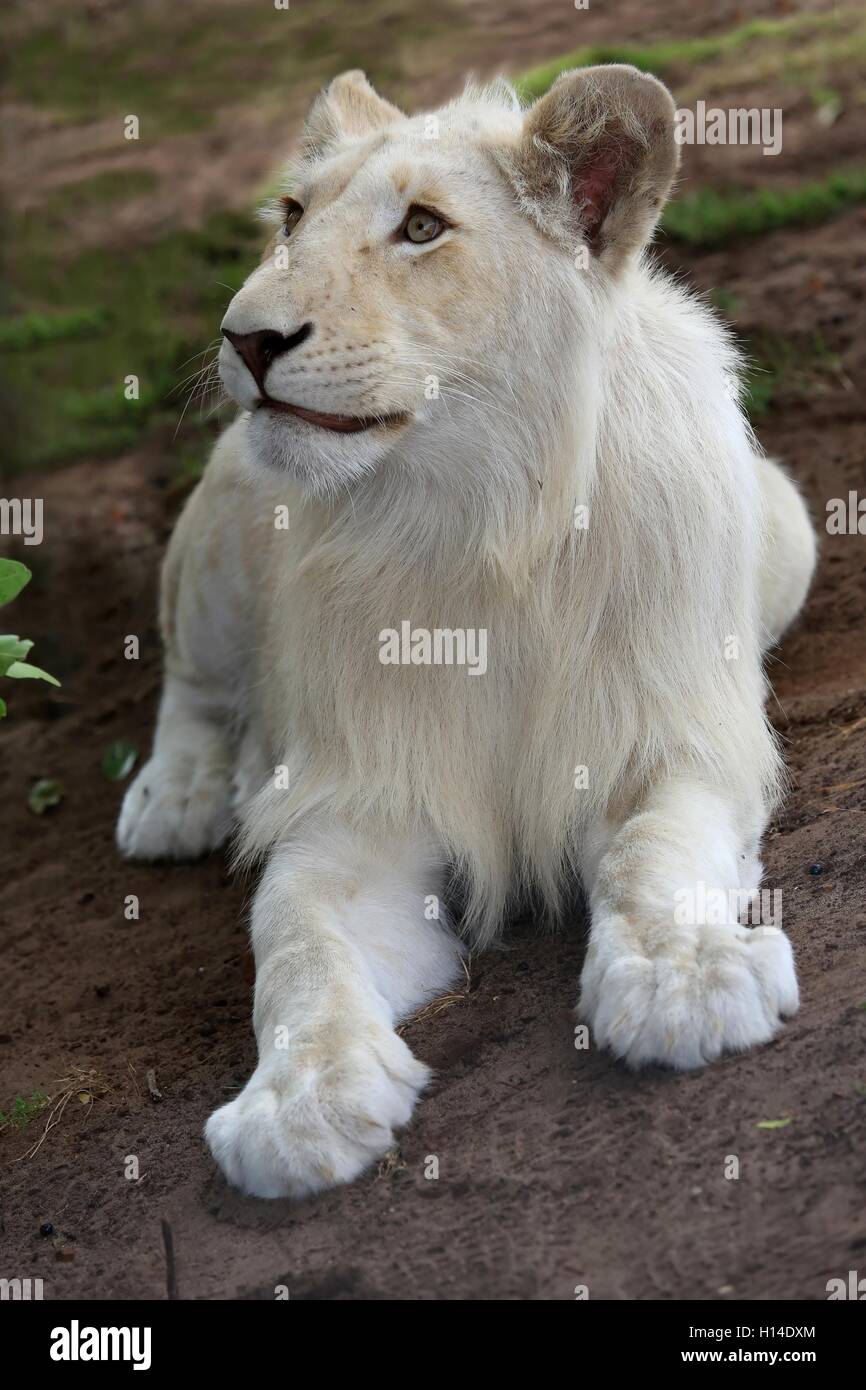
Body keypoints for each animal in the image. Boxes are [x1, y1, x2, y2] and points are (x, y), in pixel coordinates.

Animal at [117, 66, 817, 1198]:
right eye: (292, 217)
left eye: (420, 227)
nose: (245, 339)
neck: (469, 524)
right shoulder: (360, 800)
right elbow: (295, 942)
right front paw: (298, 1101)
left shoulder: (667, 738)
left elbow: (653, 852)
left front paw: (684, 979)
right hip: (221, 529)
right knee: (190, 682)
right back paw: (179, 795)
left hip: (789, 529)